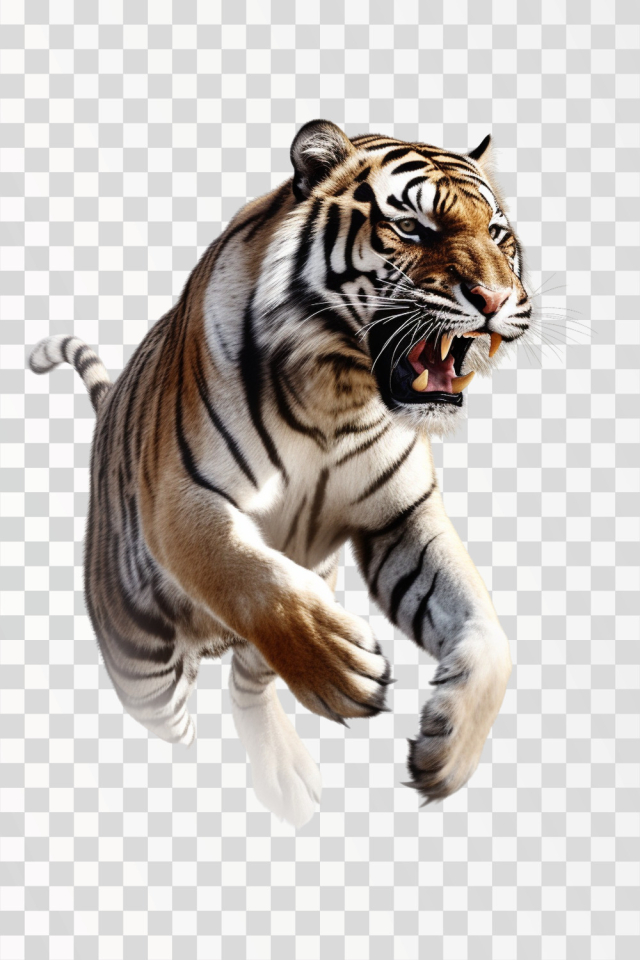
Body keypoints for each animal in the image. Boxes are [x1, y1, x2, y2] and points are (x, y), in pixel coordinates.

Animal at [29, 120, 531, 828]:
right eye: (412, 227)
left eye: (497, 233)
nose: (495, 300)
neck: (340, 390)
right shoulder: (184, 501)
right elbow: (250, 574)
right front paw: (342, 665)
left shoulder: (401, 518)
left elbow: (487, 631)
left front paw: (447, 750)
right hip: (140, 664)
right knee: (169, 725)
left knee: (250, 685)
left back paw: (283, 776)